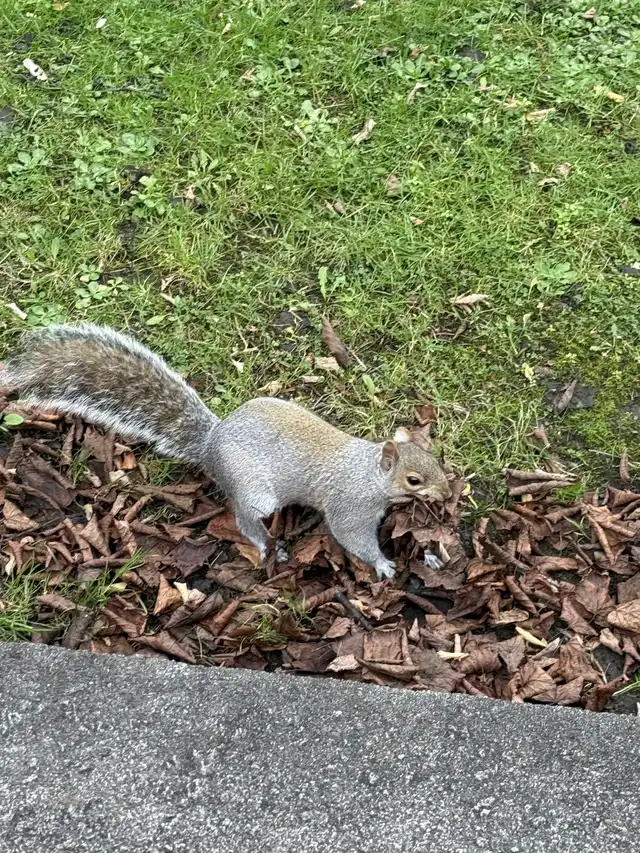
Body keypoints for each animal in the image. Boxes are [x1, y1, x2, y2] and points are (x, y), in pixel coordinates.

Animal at [0, 324, 452, 580]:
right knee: (243, 518)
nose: (448, 492)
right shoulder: (349, 506)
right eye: (413, 479)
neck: (368, 473)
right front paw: (383, 564)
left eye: (435, 461)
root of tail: (212, 443)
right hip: (256, 492)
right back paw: (268, 544)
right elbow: (352, 536)